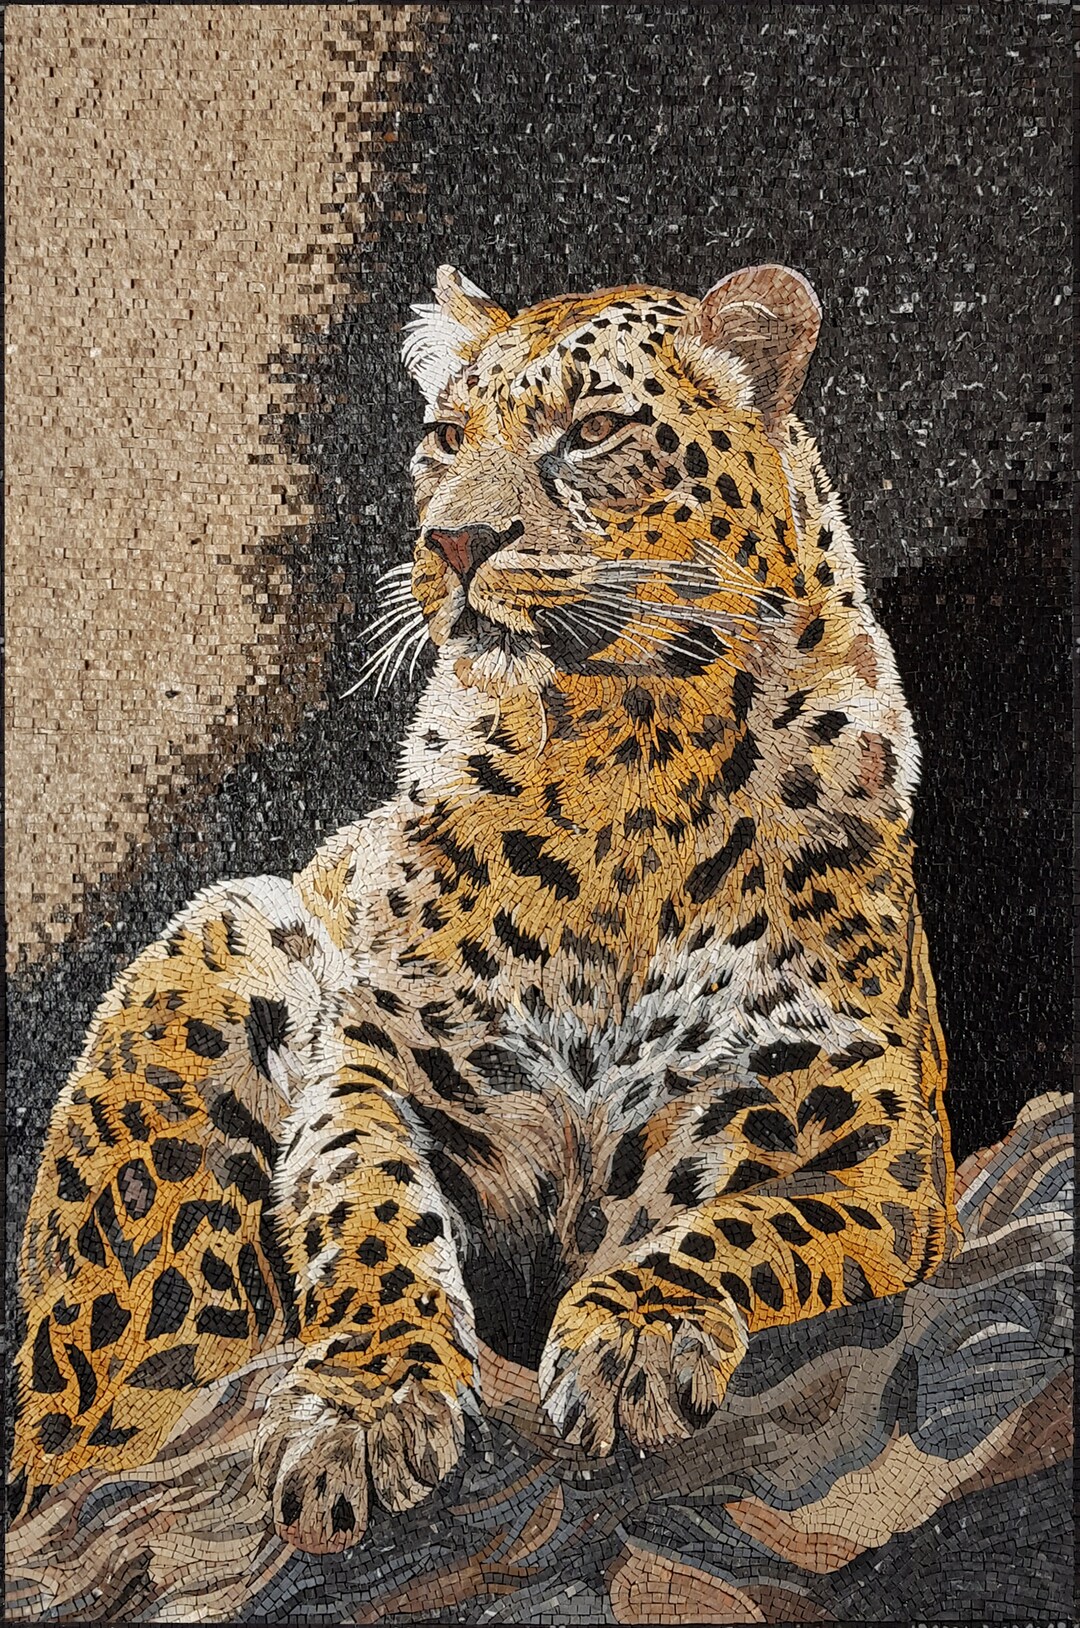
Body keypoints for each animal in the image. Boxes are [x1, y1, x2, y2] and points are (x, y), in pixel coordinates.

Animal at [11, 263, 961, 1554]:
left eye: (593, 431)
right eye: (447, 437)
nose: (455, 540)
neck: (627, 766)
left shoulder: (877, 1149)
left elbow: (742, 1226)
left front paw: (637, 1335)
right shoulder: (382, 1065)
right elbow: (369, 1214)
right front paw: (366, 1408)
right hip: (232, 945)